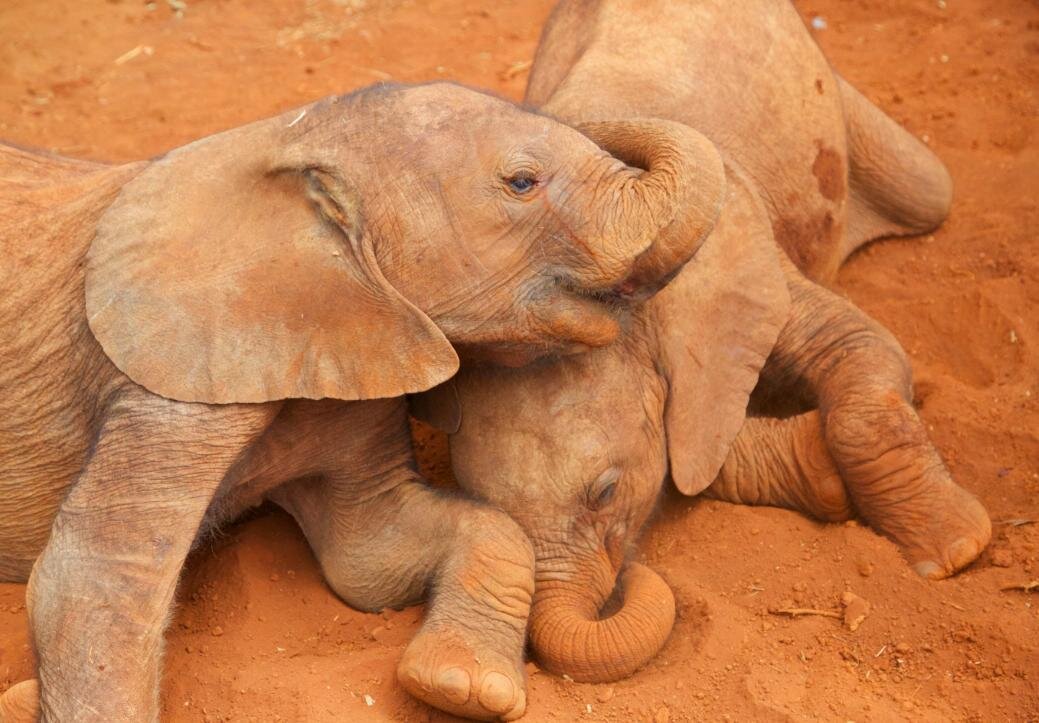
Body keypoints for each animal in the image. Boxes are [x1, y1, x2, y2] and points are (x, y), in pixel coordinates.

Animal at [0, 81, 728, 720]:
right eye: (522, 183)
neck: (286, 142)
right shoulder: (166, 374)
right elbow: (95, 578)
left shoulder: (353, 362)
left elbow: (372, 551)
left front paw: (461, 690)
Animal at [413, 0, 993, 685]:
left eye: (606, 492)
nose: (630, 576)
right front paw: (817, 473)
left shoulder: (744, 262)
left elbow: (858, 347)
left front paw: (954, 554)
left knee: (930, 191)